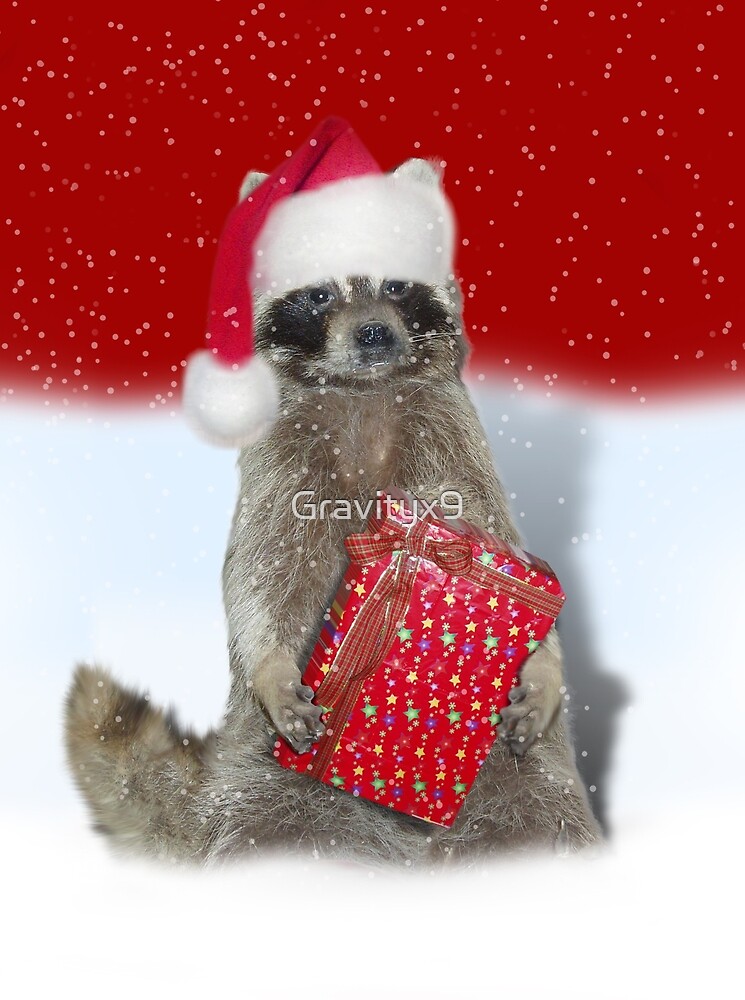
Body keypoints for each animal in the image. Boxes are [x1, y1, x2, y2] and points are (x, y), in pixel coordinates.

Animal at [65, 159, 603, 866]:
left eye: (398, 284)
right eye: (319, 295)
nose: (374, 332)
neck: (362, 393)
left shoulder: (453, 444)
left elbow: (496, 531)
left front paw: (542, 662)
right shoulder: (281, 460)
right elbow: (264, 574)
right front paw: (269, 664)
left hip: (513, 774)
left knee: (545, 810)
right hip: (259, 778)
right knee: (260, 823)